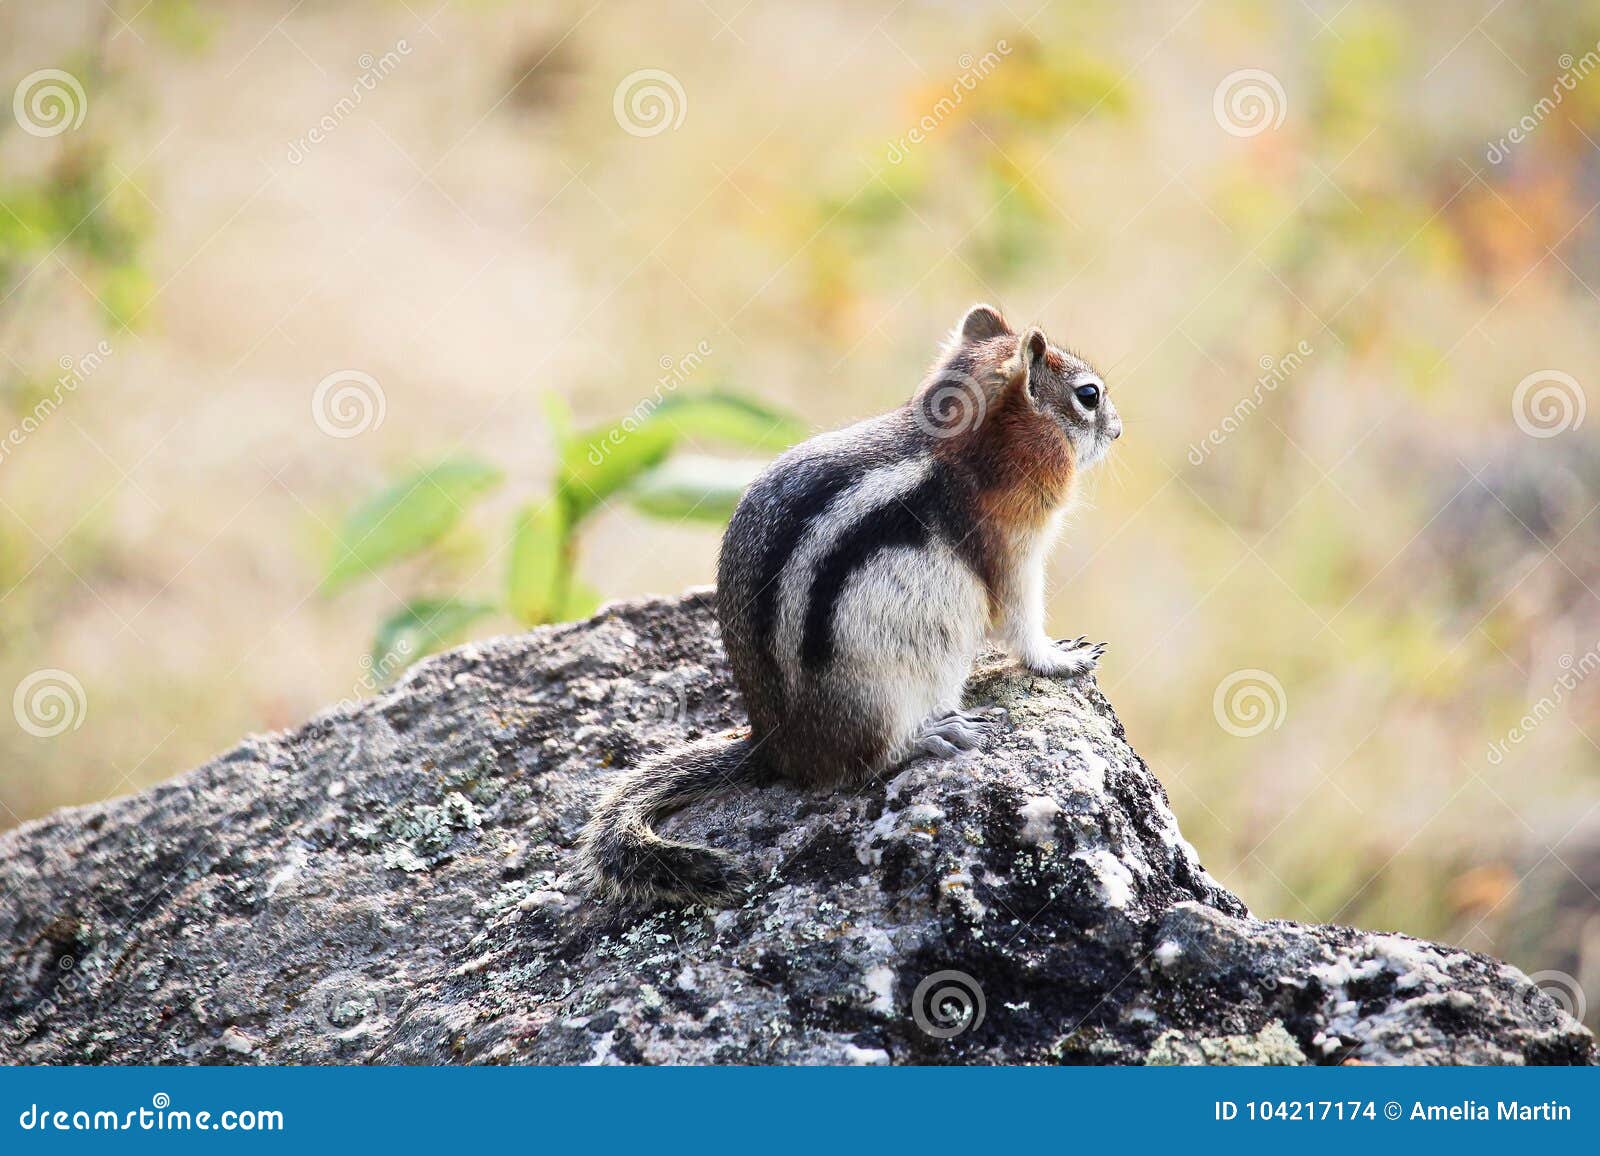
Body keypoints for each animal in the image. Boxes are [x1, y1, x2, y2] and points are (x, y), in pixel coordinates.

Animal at [578, 304, 1122, 908]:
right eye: (1089, 395)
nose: (1119, 428)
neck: (963, 445)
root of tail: (777, 747)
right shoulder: (1014, 549)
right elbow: (1022, 621)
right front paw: (1060, 658)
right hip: (881, 696)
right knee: (863, 764)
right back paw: (931, 736)